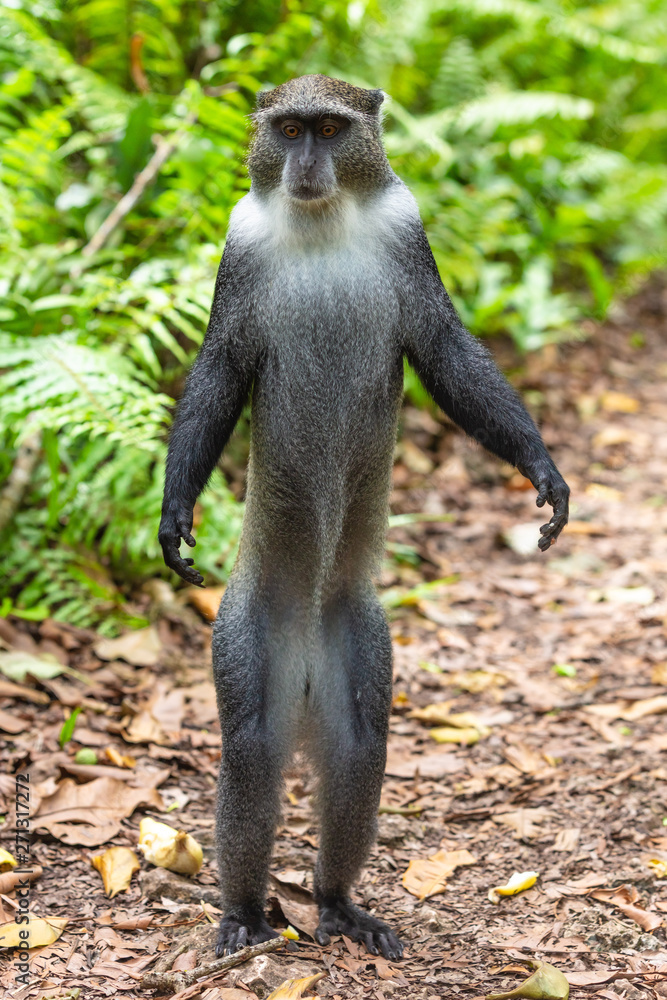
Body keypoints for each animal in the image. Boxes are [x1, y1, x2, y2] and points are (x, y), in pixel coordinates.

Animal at [158, 74, 569, 961]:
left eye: (328, 128)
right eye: (288, 130)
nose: (306, 165)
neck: (324, 220)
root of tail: (310, 652)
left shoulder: (404, 229)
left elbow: (445, 350)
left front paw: (542, 471)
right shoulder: (238, 247)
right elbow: (218, 368)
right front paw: (173, 518)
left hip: (358, 645)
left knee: (358, 747)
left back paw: (335, 902)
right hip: (249, 639)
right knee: (253, 750)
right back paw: (245, 912)